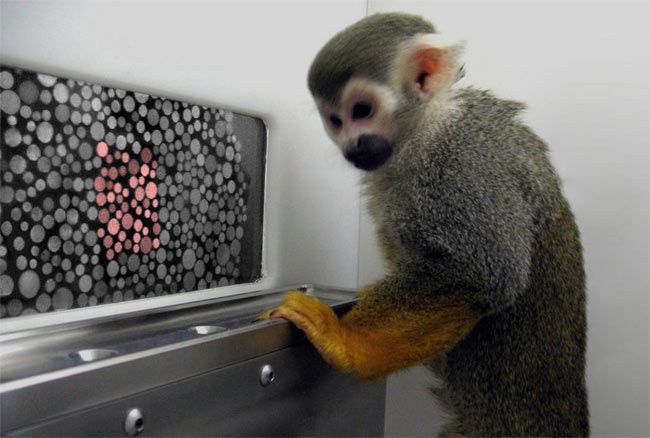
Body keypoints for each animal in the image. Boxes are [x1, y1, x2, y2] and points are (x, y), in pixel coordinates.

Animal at [262, 12, 589, 437]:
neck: (426, 124)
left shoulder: (461, 162)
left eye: (361, 111)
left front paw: (346, 342)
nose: (353, 147)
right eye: (335, 121)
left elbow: (478, 271)